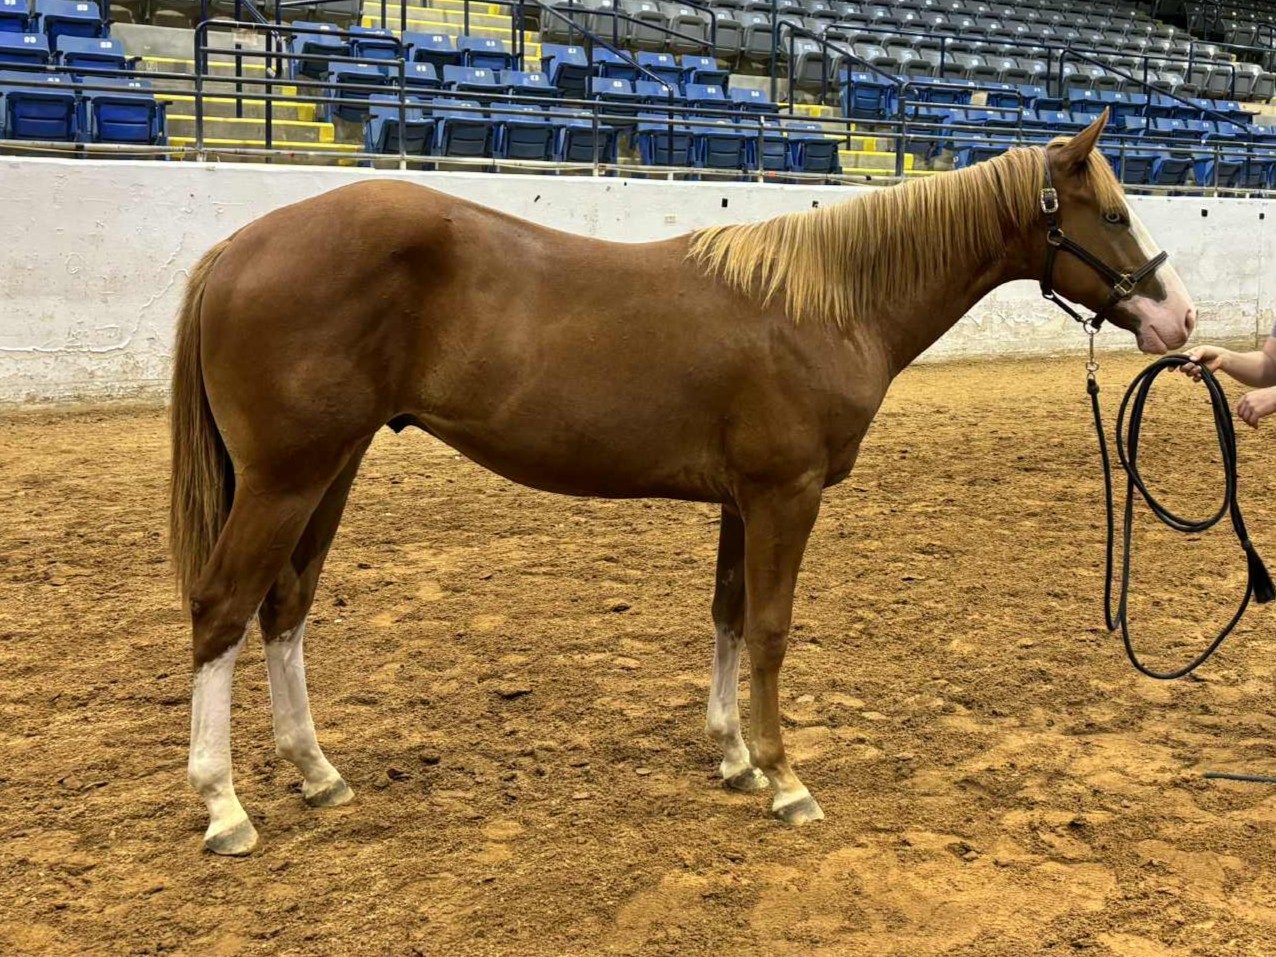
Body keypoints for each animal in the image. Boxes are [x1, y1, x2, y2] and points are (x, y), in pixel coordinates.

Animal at [170, 110, 1195, 855]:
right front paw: (787, 780)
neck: (825, 304)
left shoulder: (744, 502)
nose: (1178, 321)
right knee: (223, 608)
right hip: (287, 476)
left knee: (284, 608)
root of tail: (238, 247)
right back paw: (225, 808)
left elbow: (729, 616)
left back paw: (316, 772)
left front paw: (735, 757)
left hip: (331, 470)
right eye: (1113, 214)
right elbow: (773, 630)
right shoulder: (786, 494)